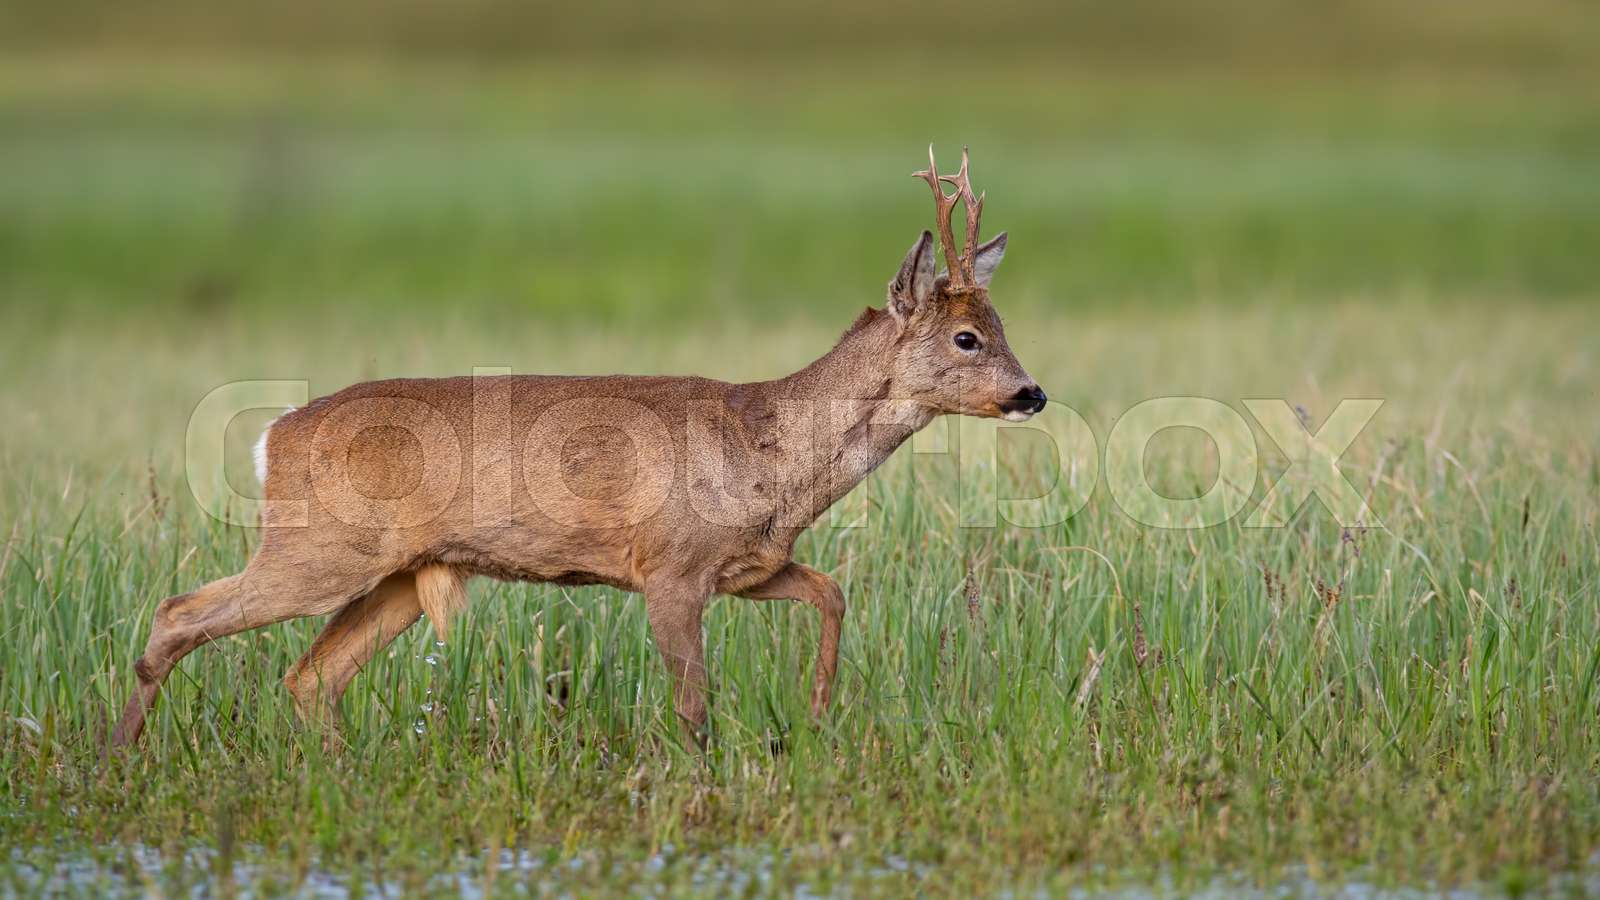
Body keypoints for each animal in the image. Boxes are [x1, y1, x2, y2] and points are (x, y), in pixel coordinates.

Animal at [112, 146, 1046, 747]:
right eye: (966, 337)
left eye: (1002, 325)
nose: (1030, 393)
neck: (771, 456)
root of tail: (275, 432)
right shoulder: (669, 567)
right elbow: (694, 709)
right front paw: (705, 787)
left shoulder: (747, 566)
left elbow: (833, 594)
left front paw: (816, 718)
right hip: (319, 549)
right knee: (176, 617)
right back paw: (115, 762)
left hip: (400, 578)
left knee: (309, 679)